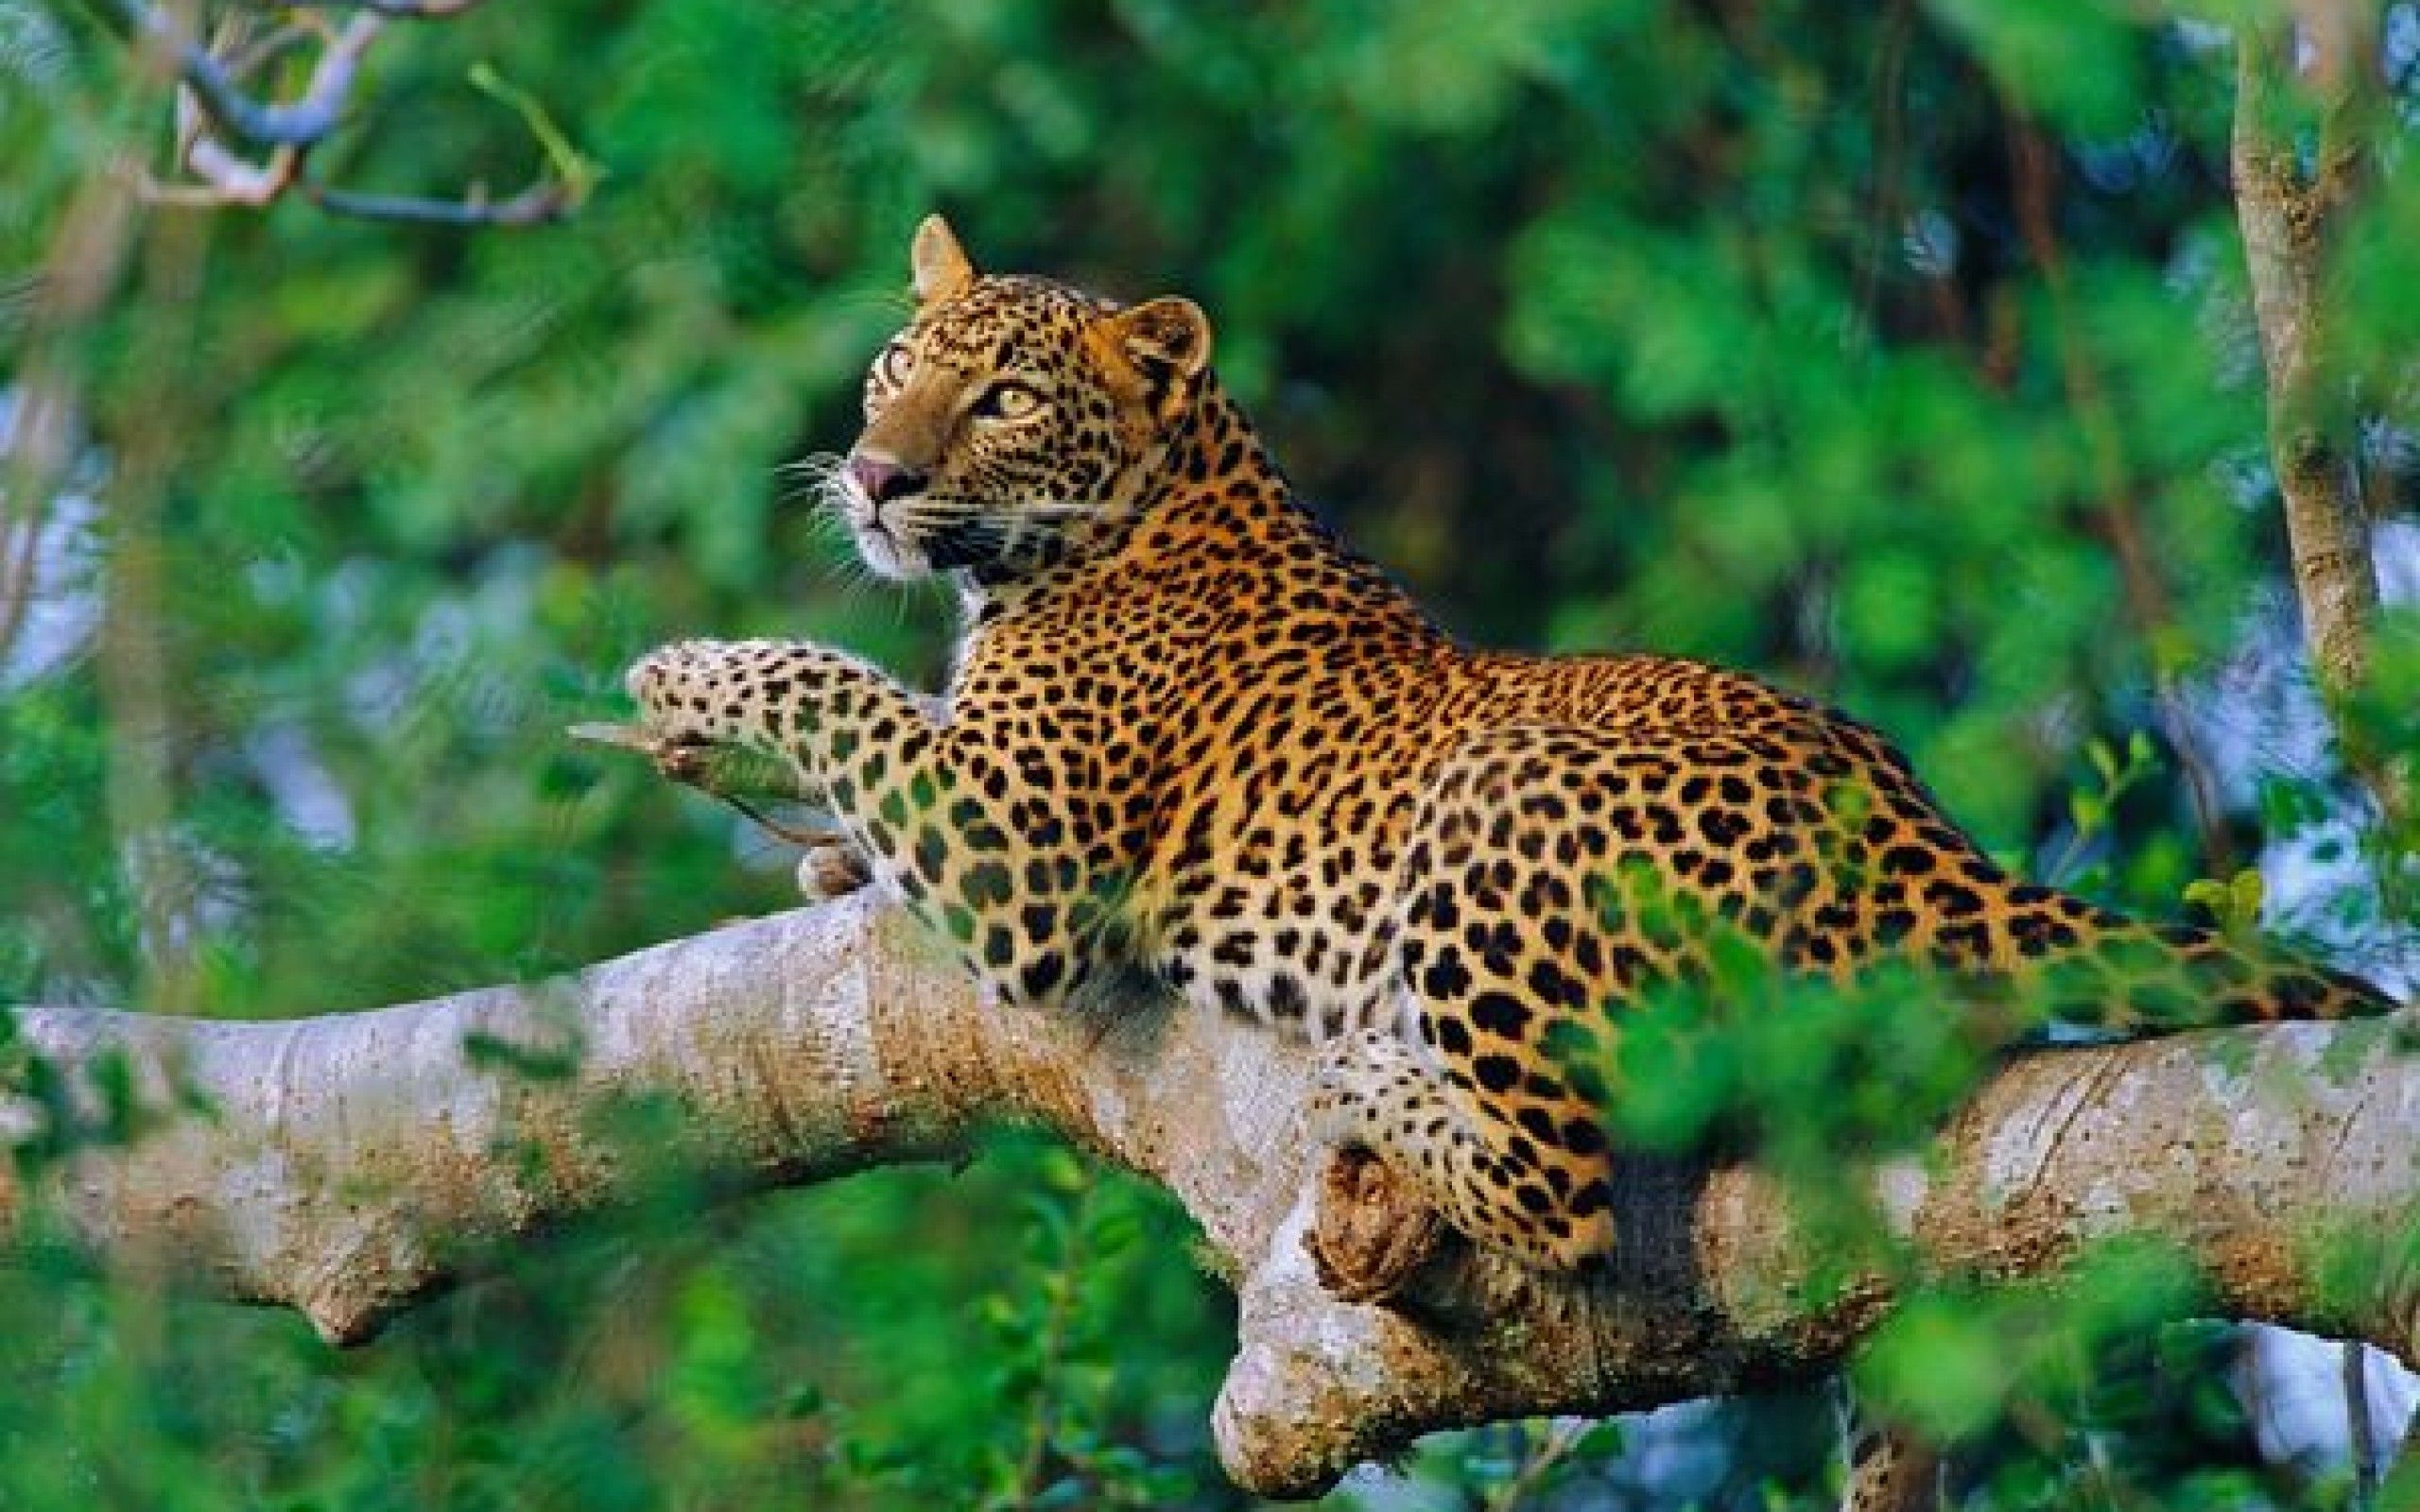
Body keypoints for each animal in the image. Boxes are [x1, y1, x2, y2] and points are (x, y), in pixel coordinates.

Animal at [623, 215, 2394, 1287]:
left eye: (997, 400)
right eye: (892, 373)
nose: (869, 474)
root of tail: (1916, 834)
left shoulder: (1019, 844)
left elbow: (847, 685)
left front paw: (689, 672)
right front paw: (825, 853)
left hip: (1496, 800)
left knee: (1567, 1199)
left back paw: (1378, 1080)